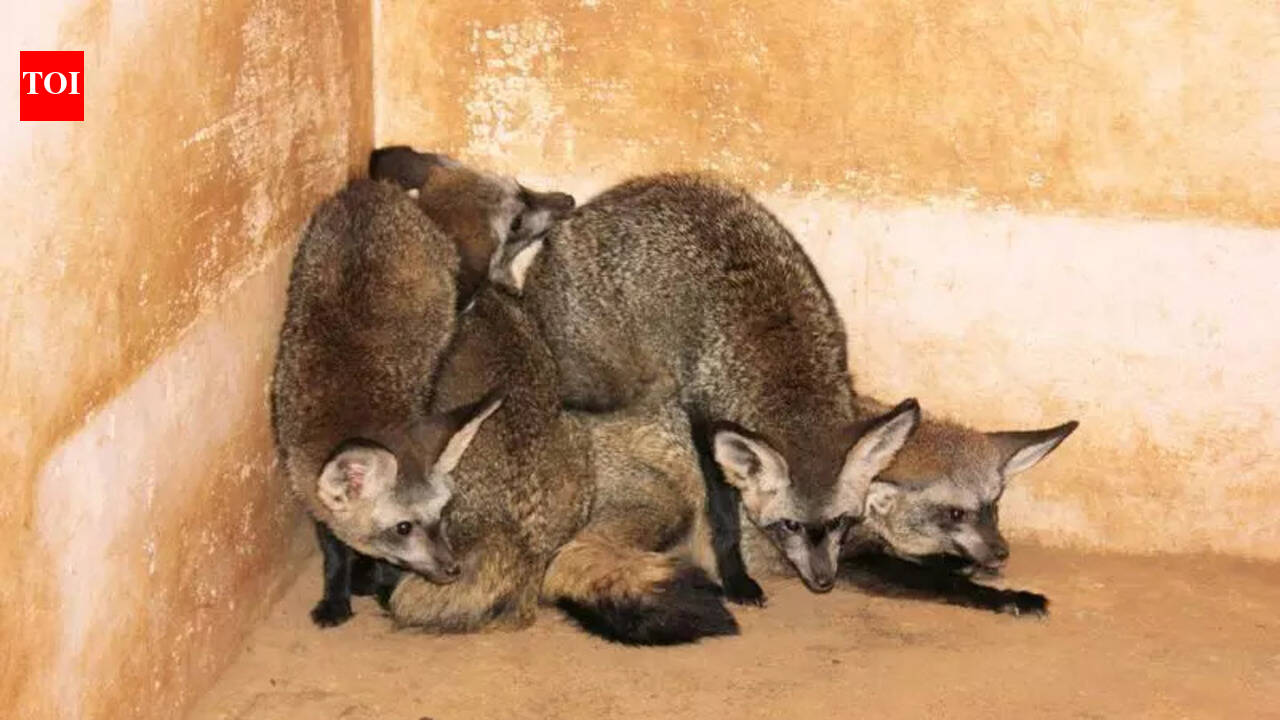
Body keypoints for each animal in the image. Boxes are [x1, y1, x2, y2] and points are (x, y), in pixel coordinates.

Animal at [270, 179, 504, 627]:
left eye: (443, 515)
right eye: (403, 528)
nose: (453, 568)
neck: (355, 408)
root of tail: (372, 187)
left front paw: (379, 583)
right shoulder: (311, 493)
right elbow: (334, 554)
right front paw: (337, 595)